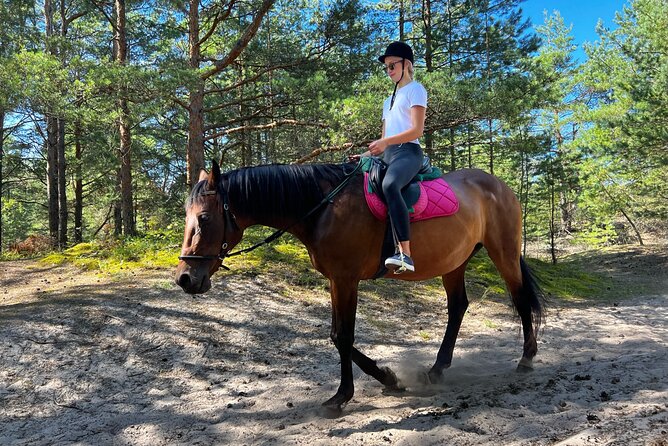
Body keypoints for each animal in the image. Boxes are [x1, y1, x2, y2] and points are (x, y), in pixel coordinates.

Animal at [174, 160, 545, 415]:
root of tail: (498, 185)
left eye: (204, 218)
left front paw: (342, 396)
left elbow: (343, 337)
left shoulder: (346, 278)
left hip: (503, 252)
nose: (185, 278)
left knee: (519, 298)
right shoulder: (335, 280)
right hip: (454, 262)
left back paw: (526, 359)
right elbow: (337, 336)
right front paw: (389, 378)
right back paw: (437, 369)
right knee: (458, 307)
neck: (321, 207)